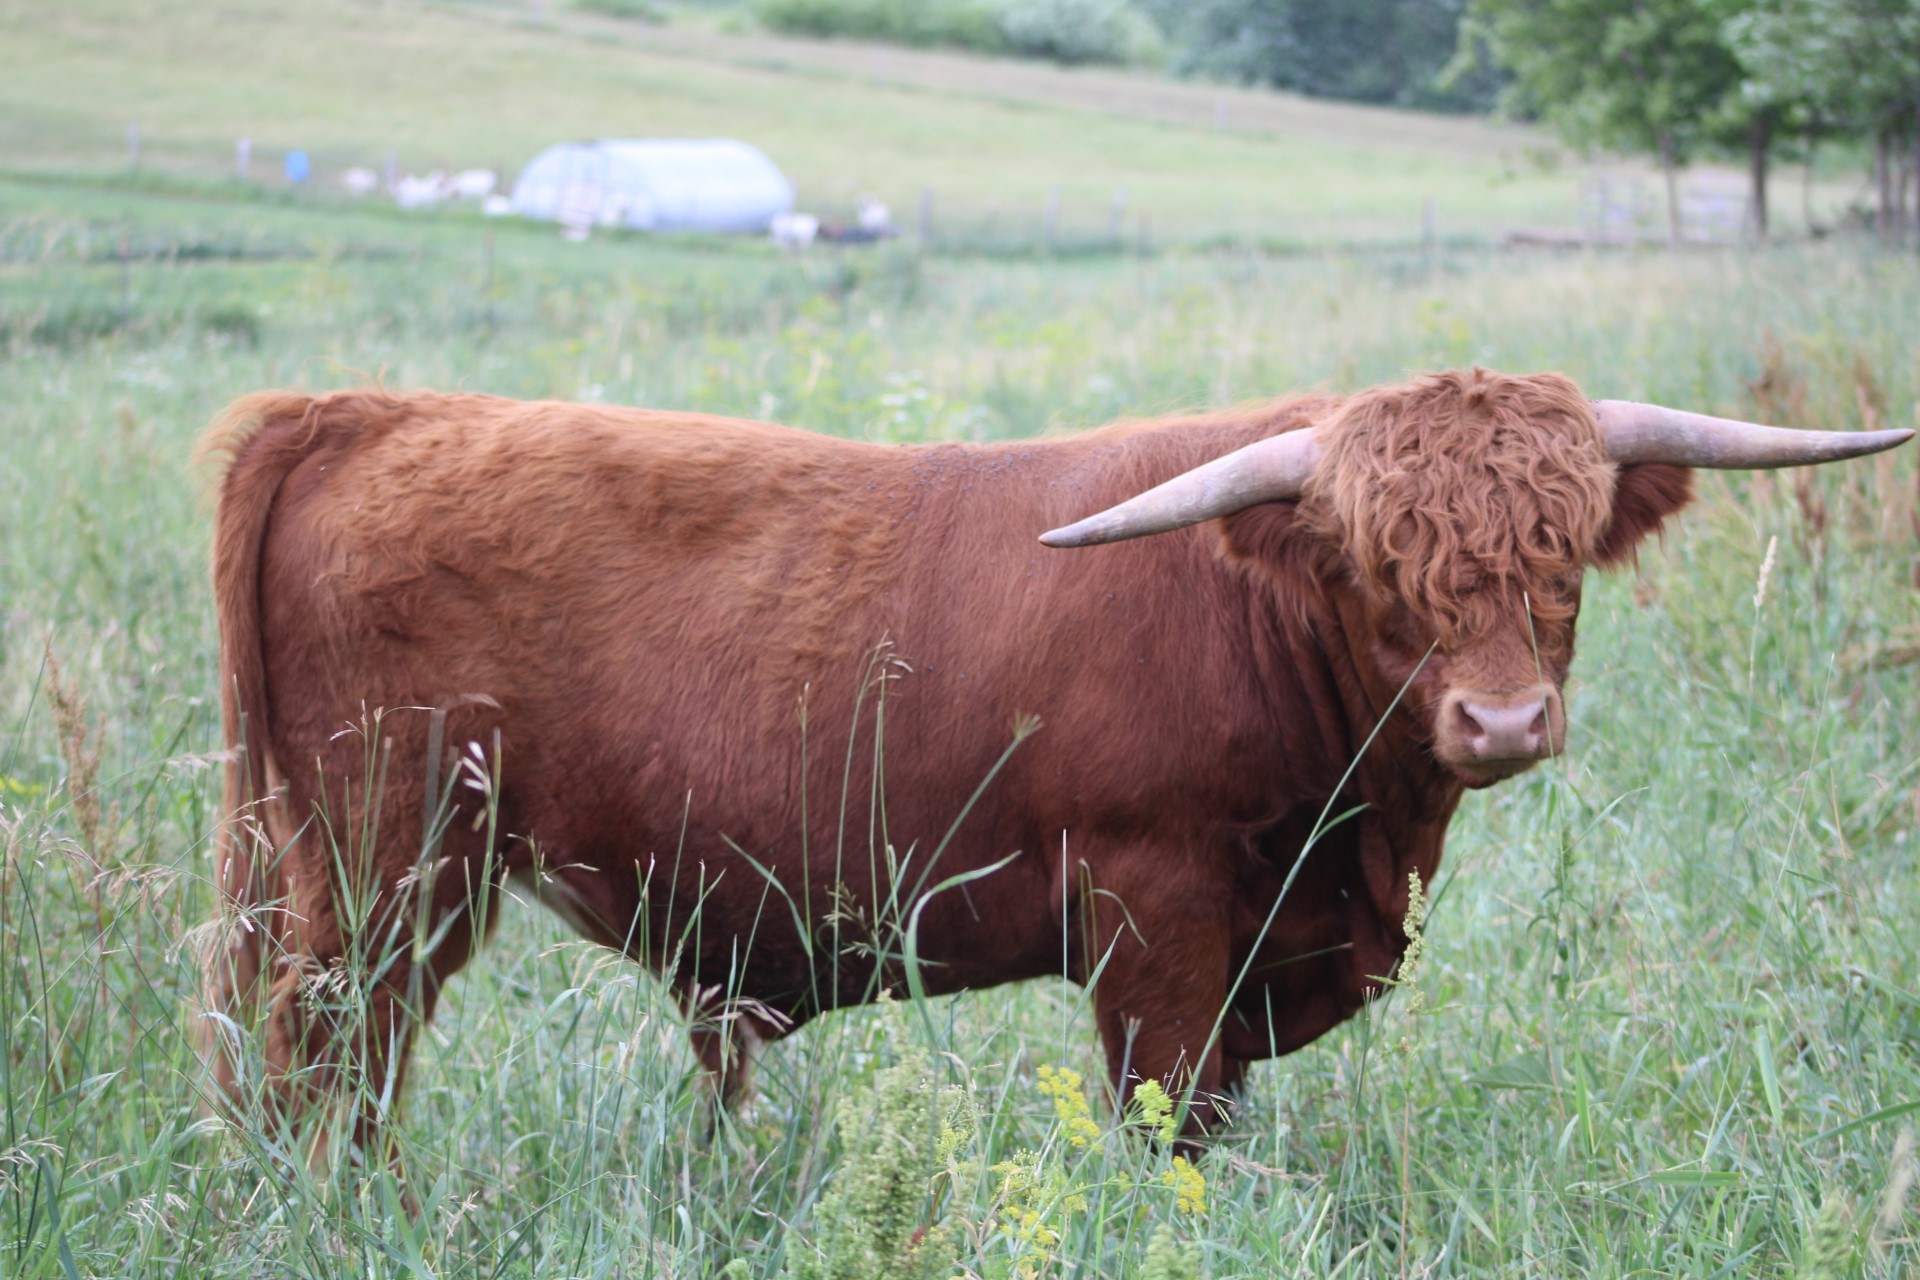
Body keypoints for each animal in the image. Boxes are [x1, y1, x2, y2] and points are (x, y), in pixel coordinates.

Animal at [196, 369, 1907, 1166]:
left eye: (1561, 555)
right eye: (1379, 566)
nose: (1500, 725)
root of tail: (362, 408)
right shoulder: (1159, 923)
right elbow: (1167, 1116)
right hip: (384, 863)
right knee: (325, 1047)